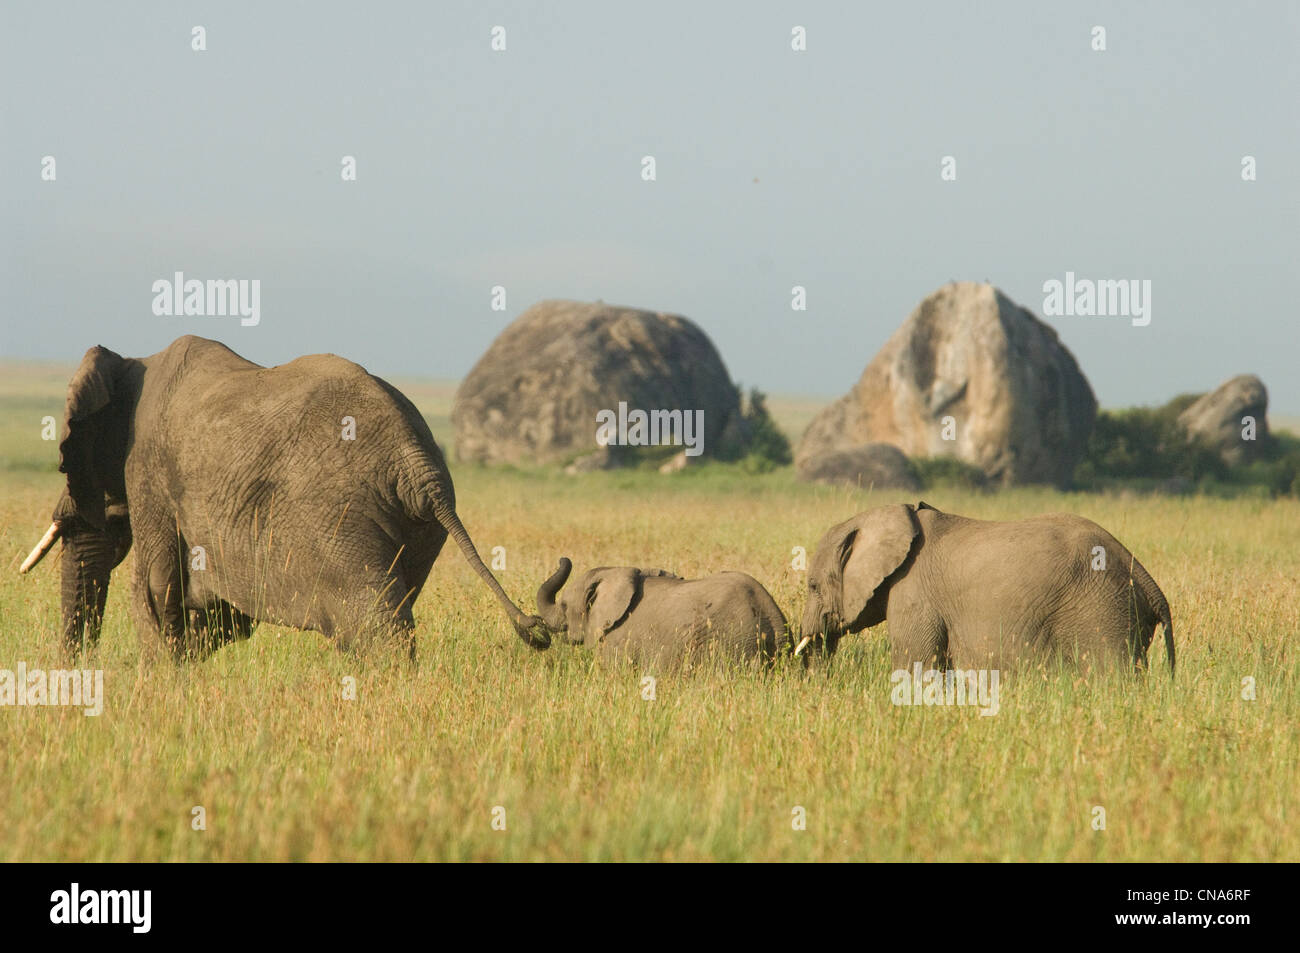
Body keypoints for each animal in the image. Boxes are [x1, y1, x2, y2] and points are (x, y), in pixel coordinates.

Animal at [19, 335, 549, 659]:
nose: (81, 673)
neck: (136, 363)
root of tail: (418, 464)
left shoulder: (151, 473)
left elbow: (154, 590)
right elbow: (213, 614)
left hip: (338, 516)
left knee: (377, 623)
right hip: (415, 530)